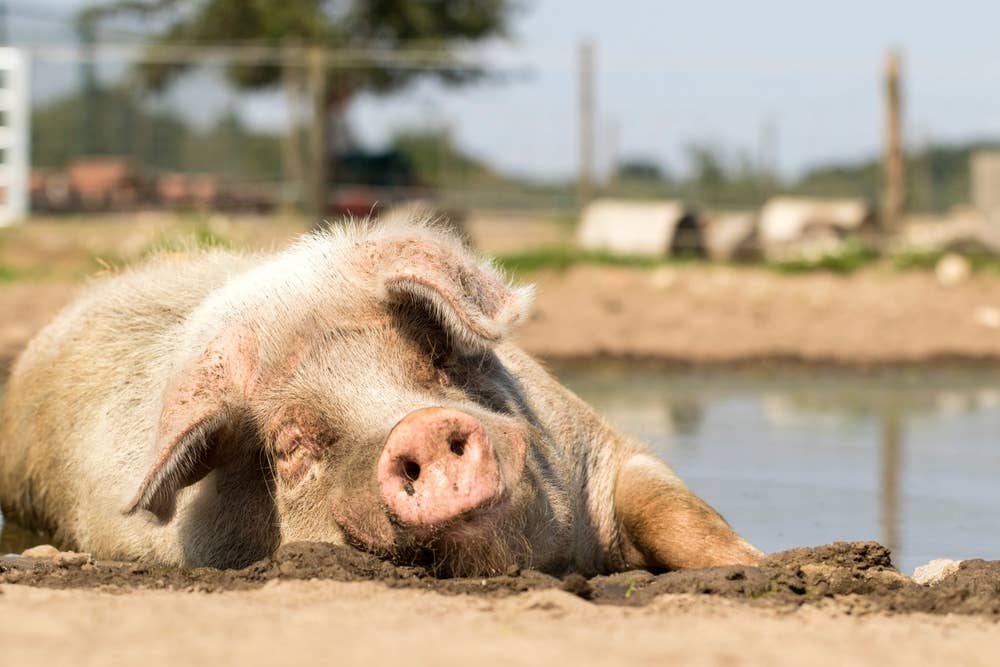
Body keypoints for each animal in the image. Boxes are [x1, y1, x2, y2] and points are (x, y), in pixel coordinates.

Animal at [0, 219, 762, 575]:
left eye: (433, 352)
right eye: (290, 443)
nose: (419, 426)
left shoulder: (598, 447)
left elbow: (674, 510)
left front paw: (758, 563)